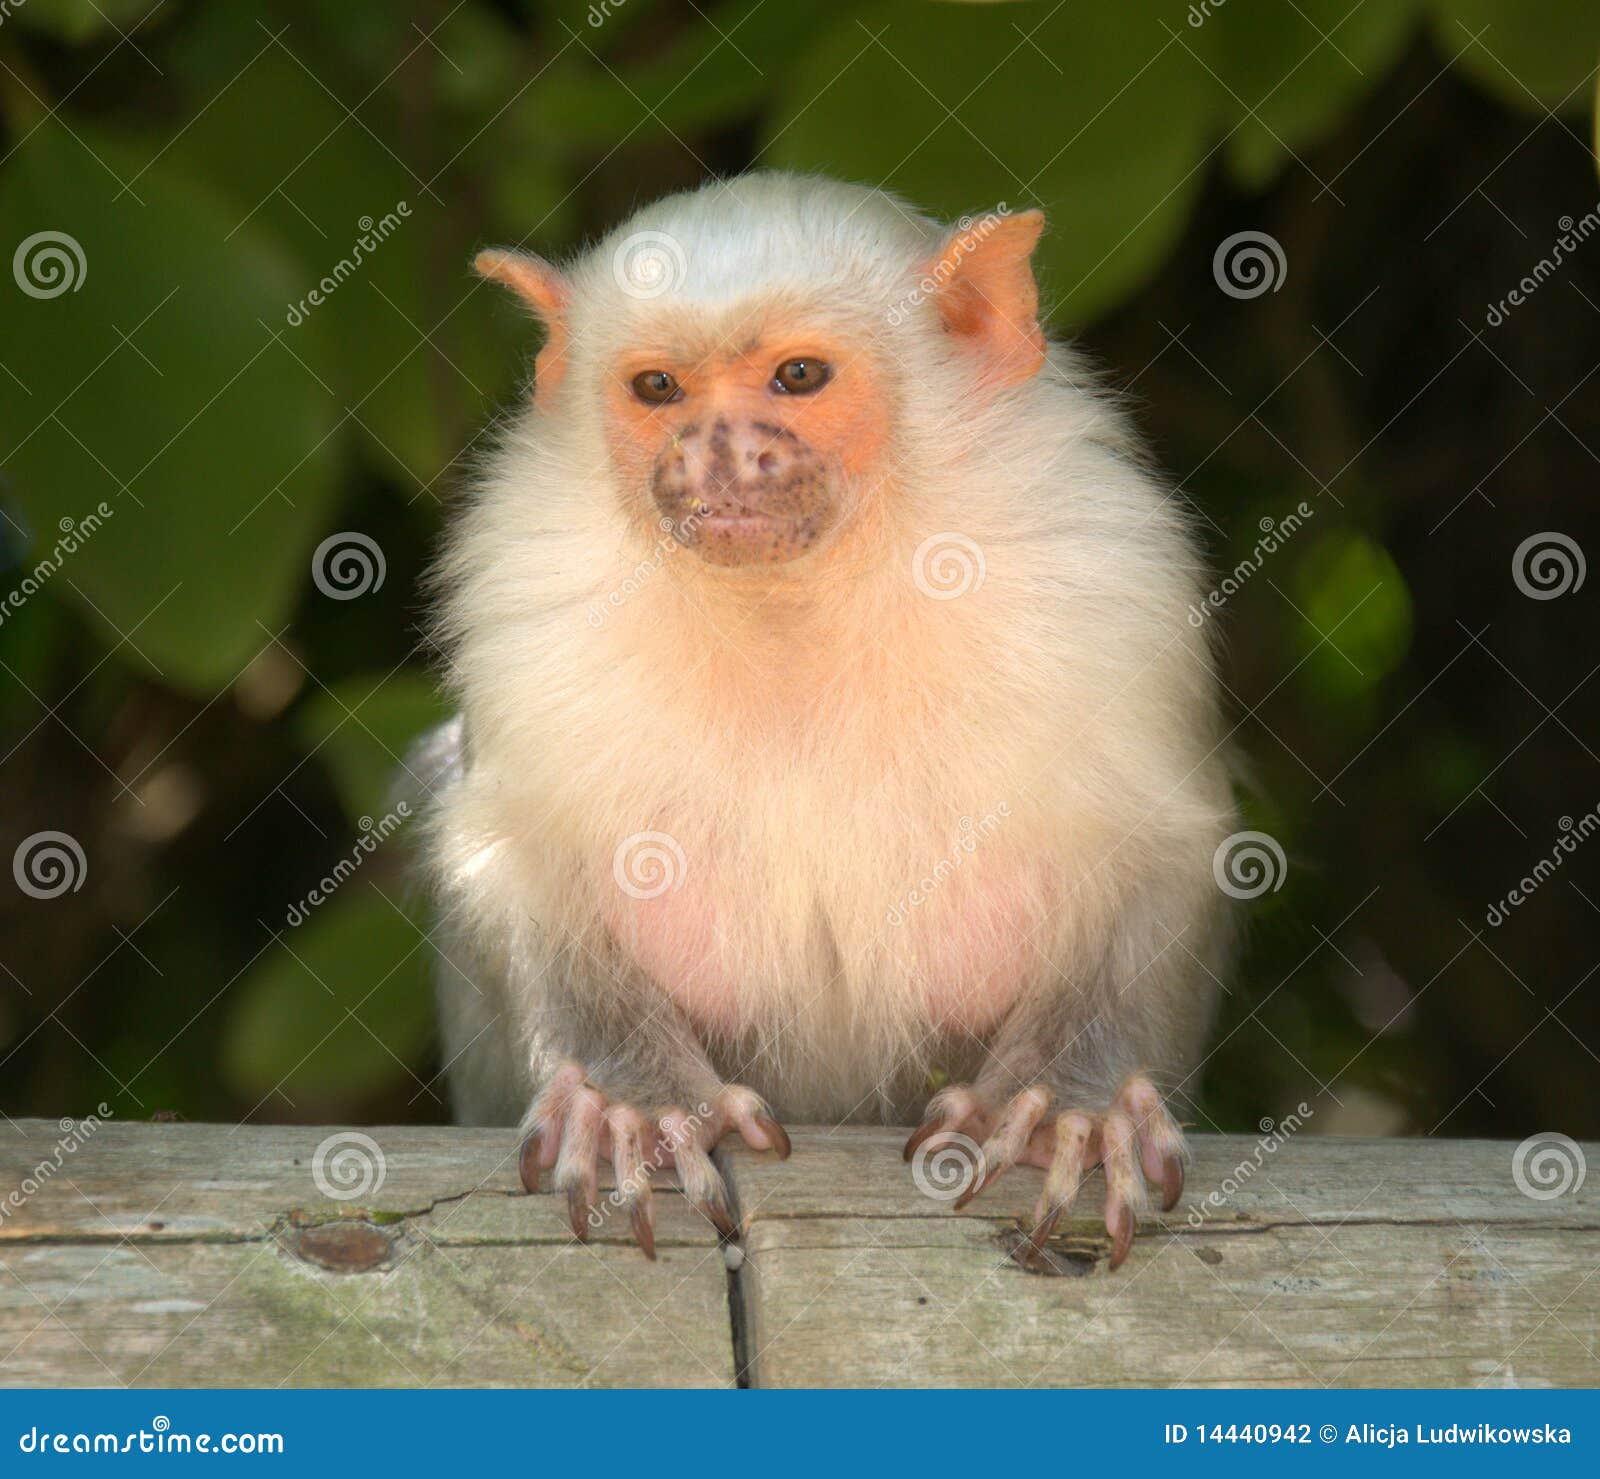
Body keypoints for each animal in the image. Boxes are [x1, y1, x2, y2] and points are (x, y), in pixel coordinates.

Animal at [415, 172, 1237, 1269]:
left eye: (797, 376)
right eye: (659, 390)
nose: (712, 456)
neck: (801, 603)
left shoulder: (1108, 581)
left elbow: (1159, 851)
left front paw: (1070, 1105)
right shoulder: (528, 613)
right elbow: (518, 862)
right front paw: (632, 1100)